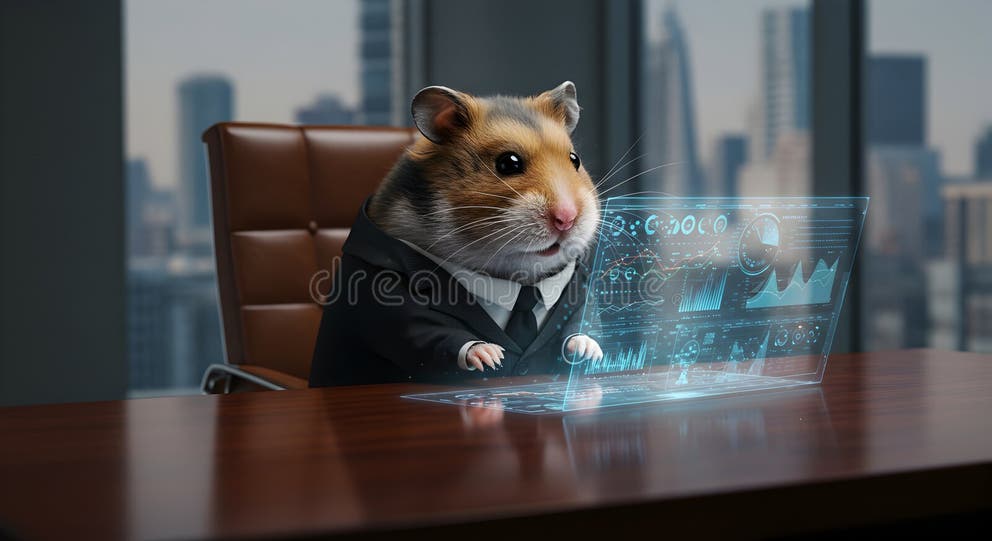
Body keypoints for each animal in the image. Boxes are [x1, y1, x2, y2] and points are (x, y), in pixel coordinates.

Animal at [368, 81, 603, 371]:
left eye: (574, 159)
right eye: (508, 163)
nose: (567, 219)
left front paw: (588, 351)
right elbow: (416, 323)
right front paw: (490, 356)